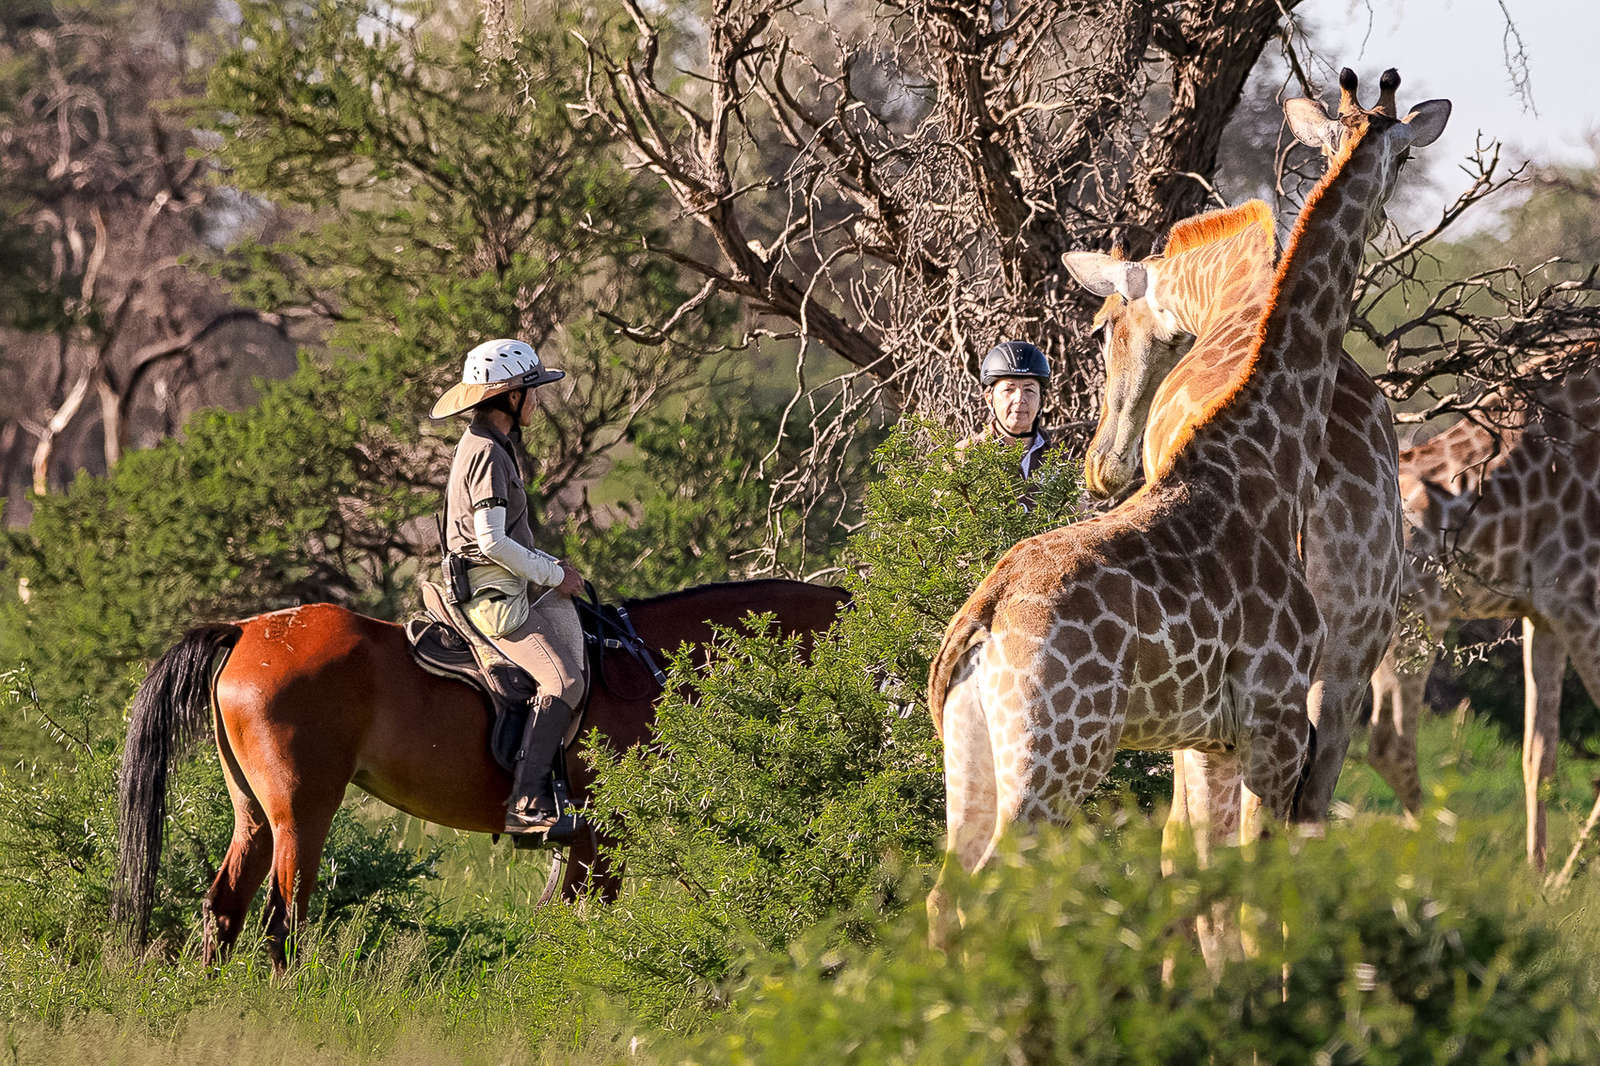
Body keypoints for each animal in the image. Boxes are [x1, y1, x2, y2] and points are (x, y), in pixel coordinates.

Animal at [113, 578, 849, 964]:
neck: (651, 666)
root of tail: (246, 631)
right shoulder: (603, 836)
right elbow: (588, 926)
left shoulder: (580, 843)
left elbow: (562, 920)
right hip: (302, 812)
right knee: (281, 916)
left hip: (255, 816)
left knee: (224, 907)